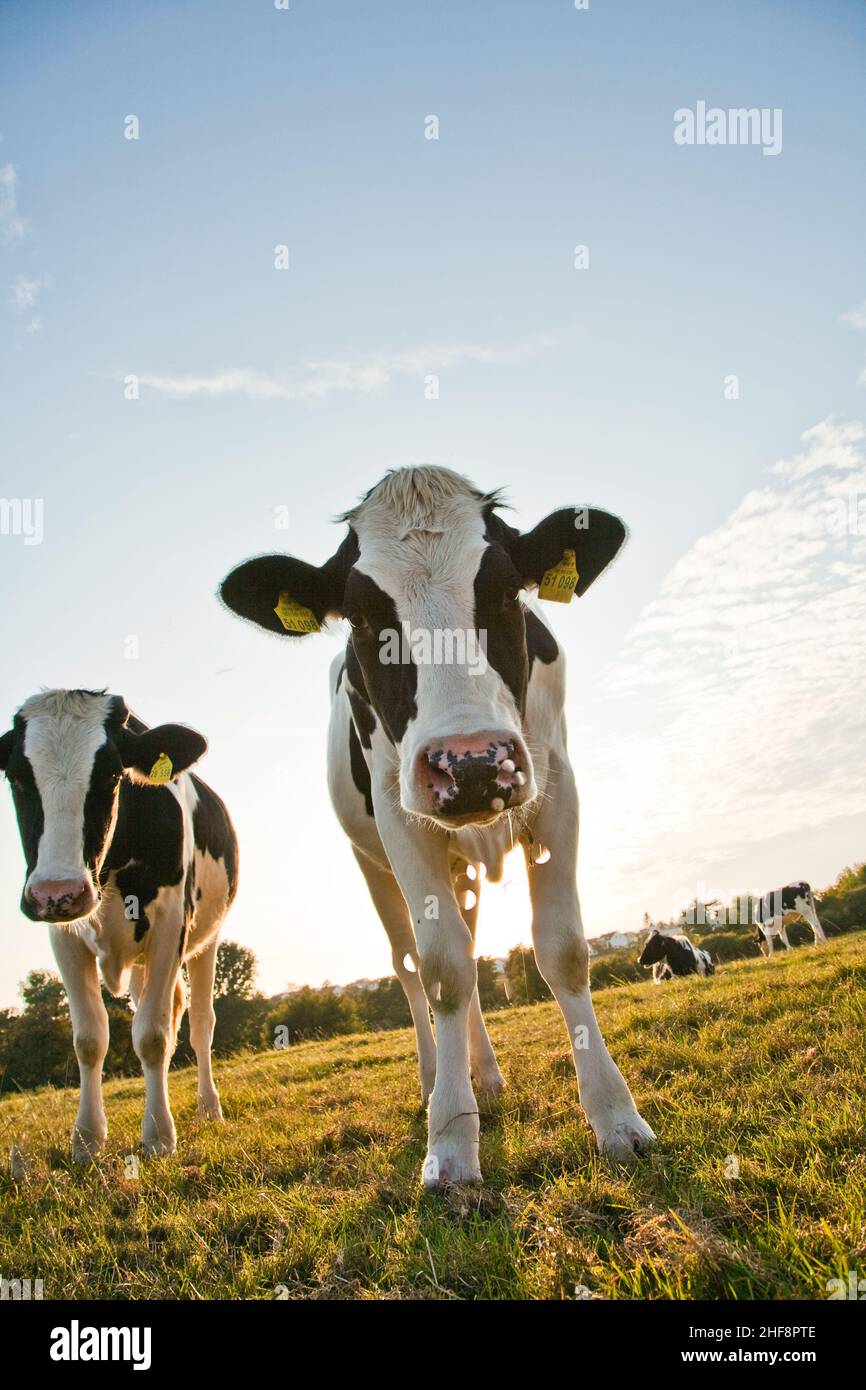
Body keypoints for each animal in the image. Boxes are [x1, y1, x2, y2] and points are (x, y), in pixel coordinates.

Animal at [0, 690, 238, 1160]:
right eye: (16, 777)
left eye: (113, 774)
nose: (57, 892)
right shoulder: (64, 936)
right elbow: (90, 1039)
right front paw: (87, 1139)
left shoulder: (170, 924)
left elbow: (152, 1036)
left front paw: (159, 1135)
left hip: (207, 940)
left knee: (200, 1023)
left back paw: (208, 1108)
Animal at [220, 465, 655, 1186]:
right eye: (362, 616)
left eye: (506, 589)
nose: (472, 762)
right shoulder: (402, 824)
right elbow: (442, 968)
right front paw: (450, 1141)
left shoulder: (558, 790)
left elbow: (562, 949)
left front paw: (616, 1117)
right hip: (372, 860)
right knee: (407, 963)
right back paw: (436, 1080)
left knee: (473, 939)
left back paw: (487, 1075)